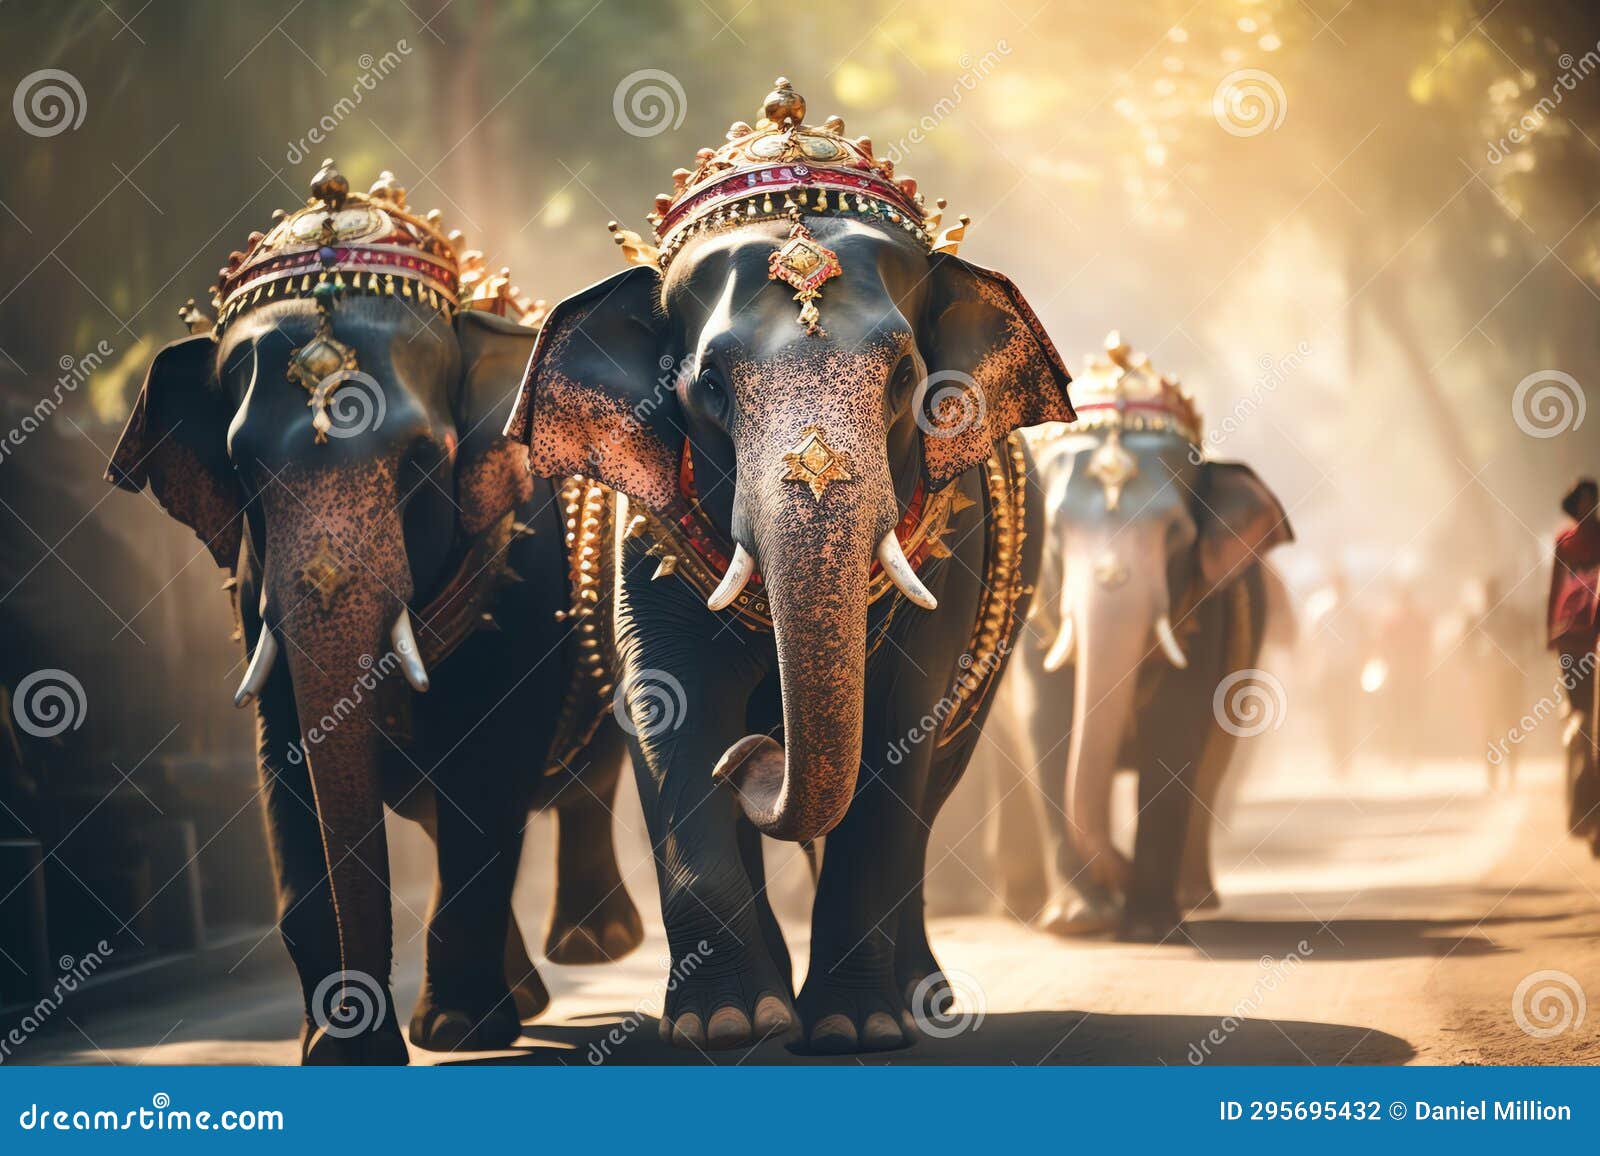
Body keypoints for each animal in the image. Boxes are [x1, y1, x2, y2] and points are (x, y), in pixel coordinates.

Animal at [105, 164, 642, 1064]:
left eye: (421, 463)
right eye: (243, 470)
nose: (362, 1037)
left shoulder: (522, 572)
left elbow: (488, 773)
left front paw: (456, 1032)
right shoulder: (256, 600)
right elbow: (285, 768)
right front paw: (335, 1050)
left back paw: (590, 953)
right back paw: (530, 993)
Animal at [506, 80, 1073, 1053]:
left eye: (905, 379)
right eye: (708, 386)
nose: (756, 750)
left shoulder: (950, 552)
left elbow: (901, 730)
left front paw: (856, 1030)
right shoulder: (646, 534)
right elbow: (668, 711)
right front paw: (727, 1025)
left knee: (934, 785)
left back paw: (917, 997)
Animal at [985, 334, 1293, 943]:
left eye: (1175, 534)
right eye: (1057, 535)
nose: (1119, 878)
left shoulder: (1203, 607)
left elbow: (1175, 728)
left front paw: (1150, 925)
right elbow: (1046, 726)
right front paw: (1079, 923)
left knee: (1212, 767)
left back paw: (1195, 898)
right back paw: (1022, 909)